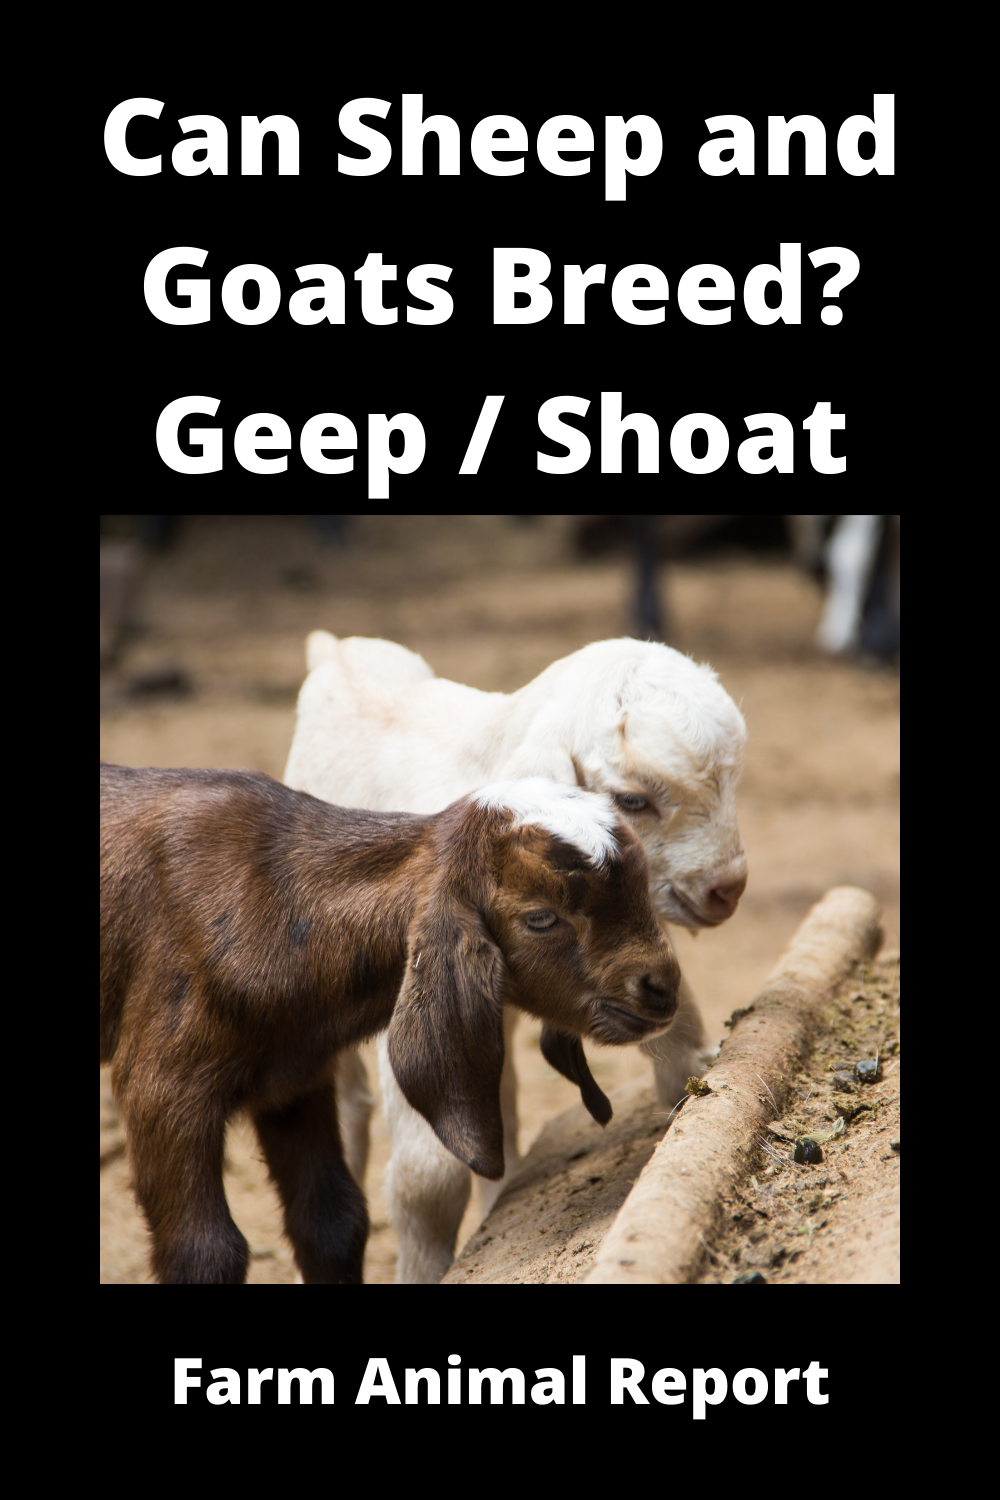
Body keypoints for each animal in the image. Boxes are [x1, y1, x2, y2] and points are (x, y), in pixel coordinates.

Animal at [100, 763, 680, 1285]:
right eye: (540, 918)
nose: (663, 984)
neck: (275, 904)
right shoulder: (162, 1087)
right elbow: (206, 1253)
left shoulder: (292, 1080)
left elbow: (333, 1223)